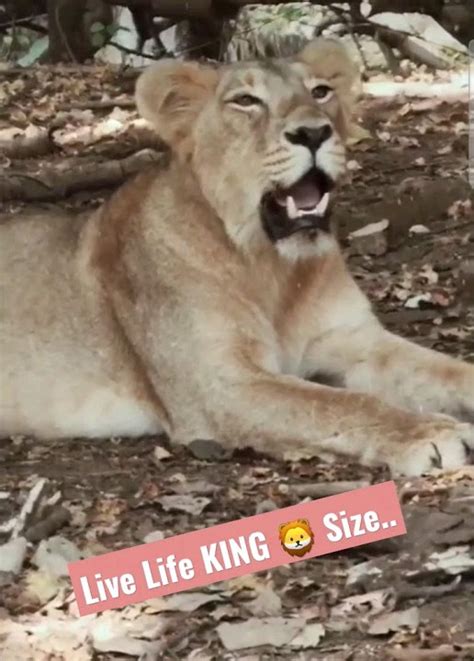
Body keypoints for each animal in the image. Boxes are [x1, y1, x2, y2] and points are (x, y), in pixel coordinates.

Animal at [1, 38, 473, 476]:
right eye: (246, 101)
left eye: (320, 91)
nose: (314, 133)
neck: (273, 269)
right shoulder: (219, 383)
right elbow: (340, 404)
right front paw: (431, 433)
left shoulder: (352, 339)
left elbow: (446, 370)